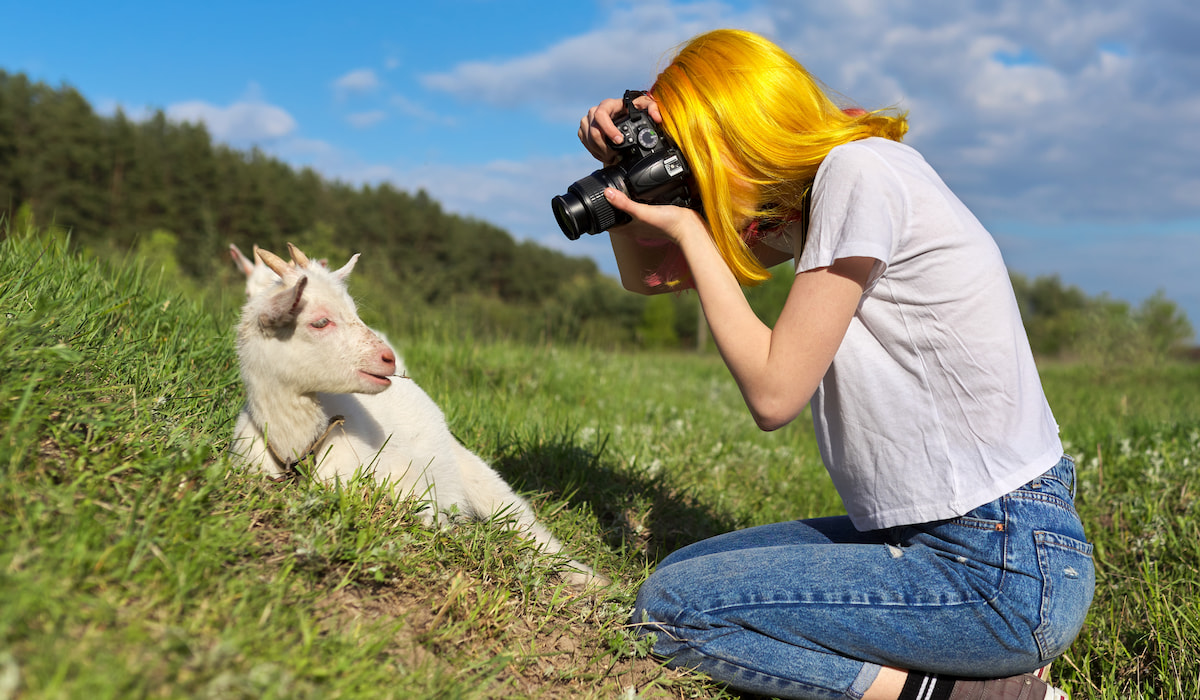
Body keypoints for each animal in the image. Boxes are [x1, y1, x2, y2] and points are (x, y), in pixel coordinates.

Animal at [228, 243, 602, 586]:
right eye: (320, 321)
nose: (387, 359)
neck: (296, 445)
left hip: (477, 475)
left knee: (523, 522)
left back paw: (588, 578)